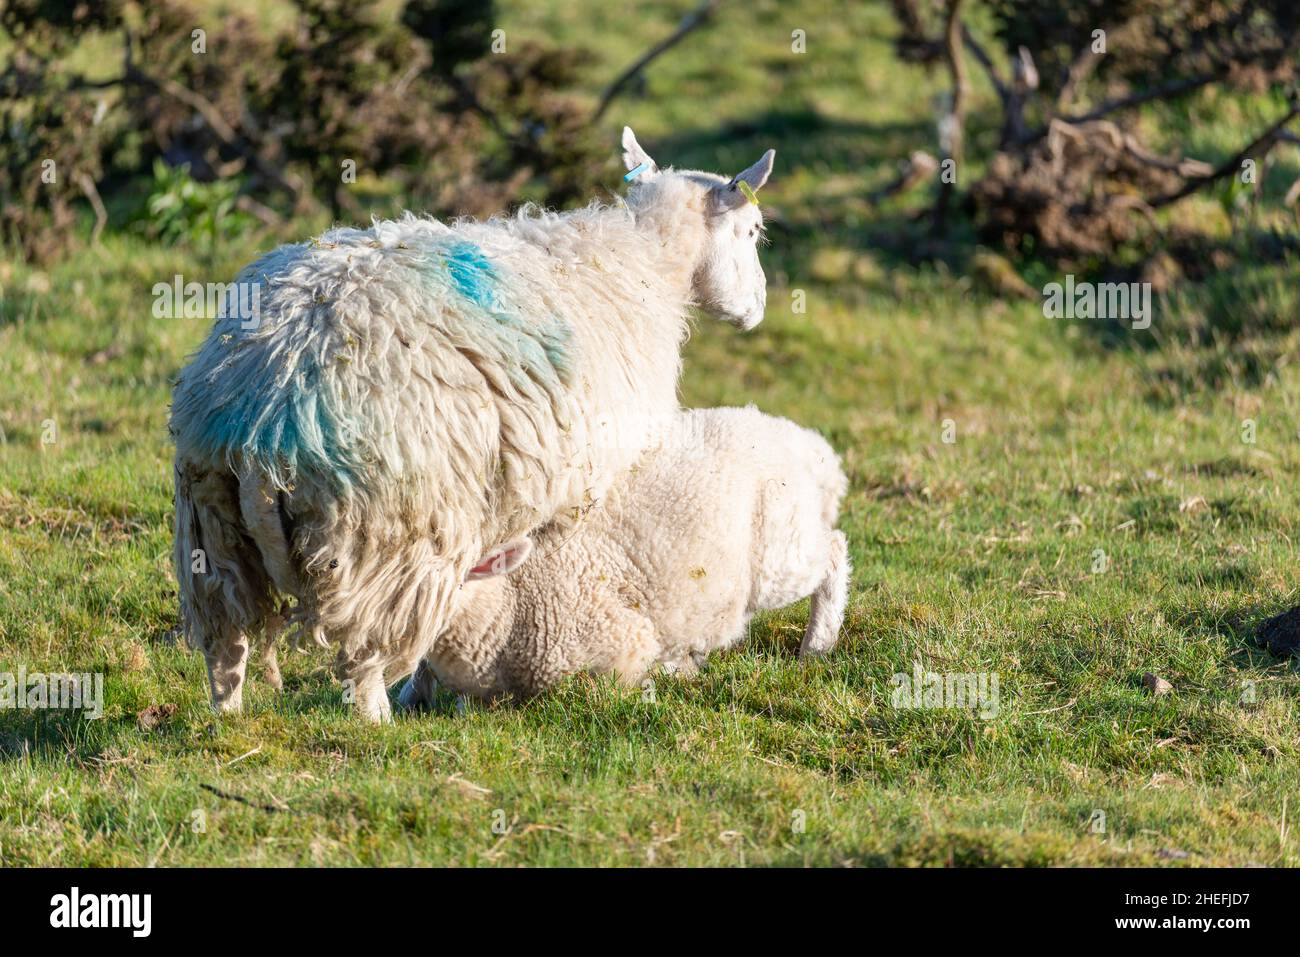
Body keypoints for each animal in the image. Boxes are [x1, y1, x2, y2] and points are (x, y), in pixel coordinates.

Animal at [171, 128, 777, 721]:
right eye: (752, 231)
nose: (758, 310)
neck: (648, 262)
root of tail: (266, 396)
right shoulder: (581, 492)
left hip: (211, 524)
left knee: (225, 637)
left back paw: (227, 717)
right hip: (394, 531)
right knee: (368, 645)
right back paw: (377, 718)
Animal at [397, 405, 850, 706]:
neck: (510, 606)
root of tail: (810, 447)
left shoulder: (618, 642)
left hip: (782, 551)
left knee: (834, 551)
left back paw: (817, 645)